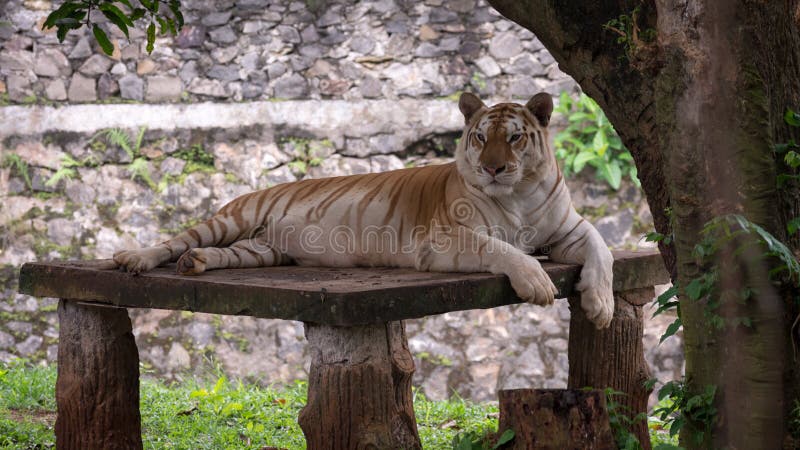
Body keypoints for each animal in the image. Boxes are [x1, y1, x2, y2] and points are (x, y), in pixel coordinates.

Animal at [113, 92, 615, 328]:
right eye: (479, 137)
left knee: (220, 255)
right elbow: (505, 250)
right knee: (173, 241)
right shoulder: (445, 239)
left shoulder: (570, 230)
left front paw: (601, 305)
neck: (519, 194)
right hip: (230, 218)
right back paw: (135, 258)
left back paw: (195, 264)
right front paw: (538, 282)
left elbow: (603, 250)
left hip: (261, 251)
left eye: (514, 137)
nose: (493, 168)